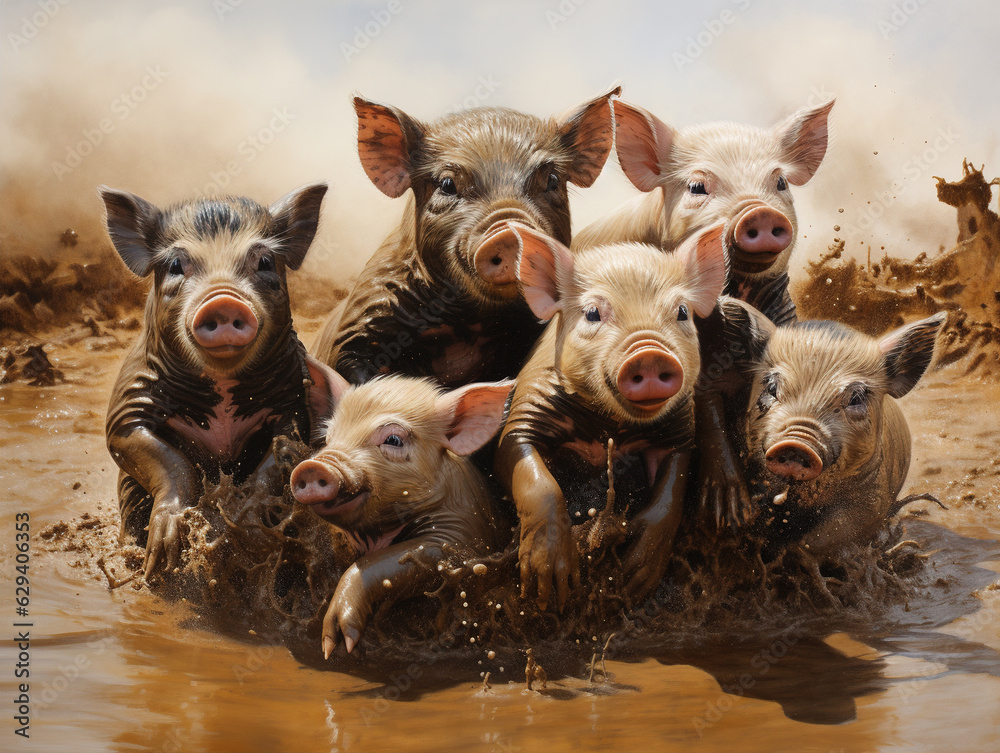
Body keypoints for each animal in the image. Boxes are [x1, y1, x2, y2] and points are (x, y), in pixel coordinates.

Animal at [102, 183, 339, 579]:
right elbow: (157, 455)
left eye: (264, 263)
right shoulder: (129, 400)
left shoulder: (293, 399)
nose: (223, 300)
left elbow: (279, 456)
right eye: (175, 265)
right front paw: (161, 562)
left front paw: (252, 527)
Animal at [289, 372, 512, 657]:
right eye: (328, 438)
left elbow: (394, 559)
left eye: (393, 440)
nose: (311, 466)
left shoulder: (463, 535)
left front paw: (336, 643)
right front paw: (330, 650)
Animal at [496, 223, 729, 610]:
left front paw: (630, 585)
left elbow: (669, 495)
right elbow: (538, 482)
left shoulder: (680, 430)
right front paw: (550, 593)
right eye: (593, 313)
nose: (649, 353)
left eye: (681, 311)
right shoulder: (525, 412)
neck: (610, 426)